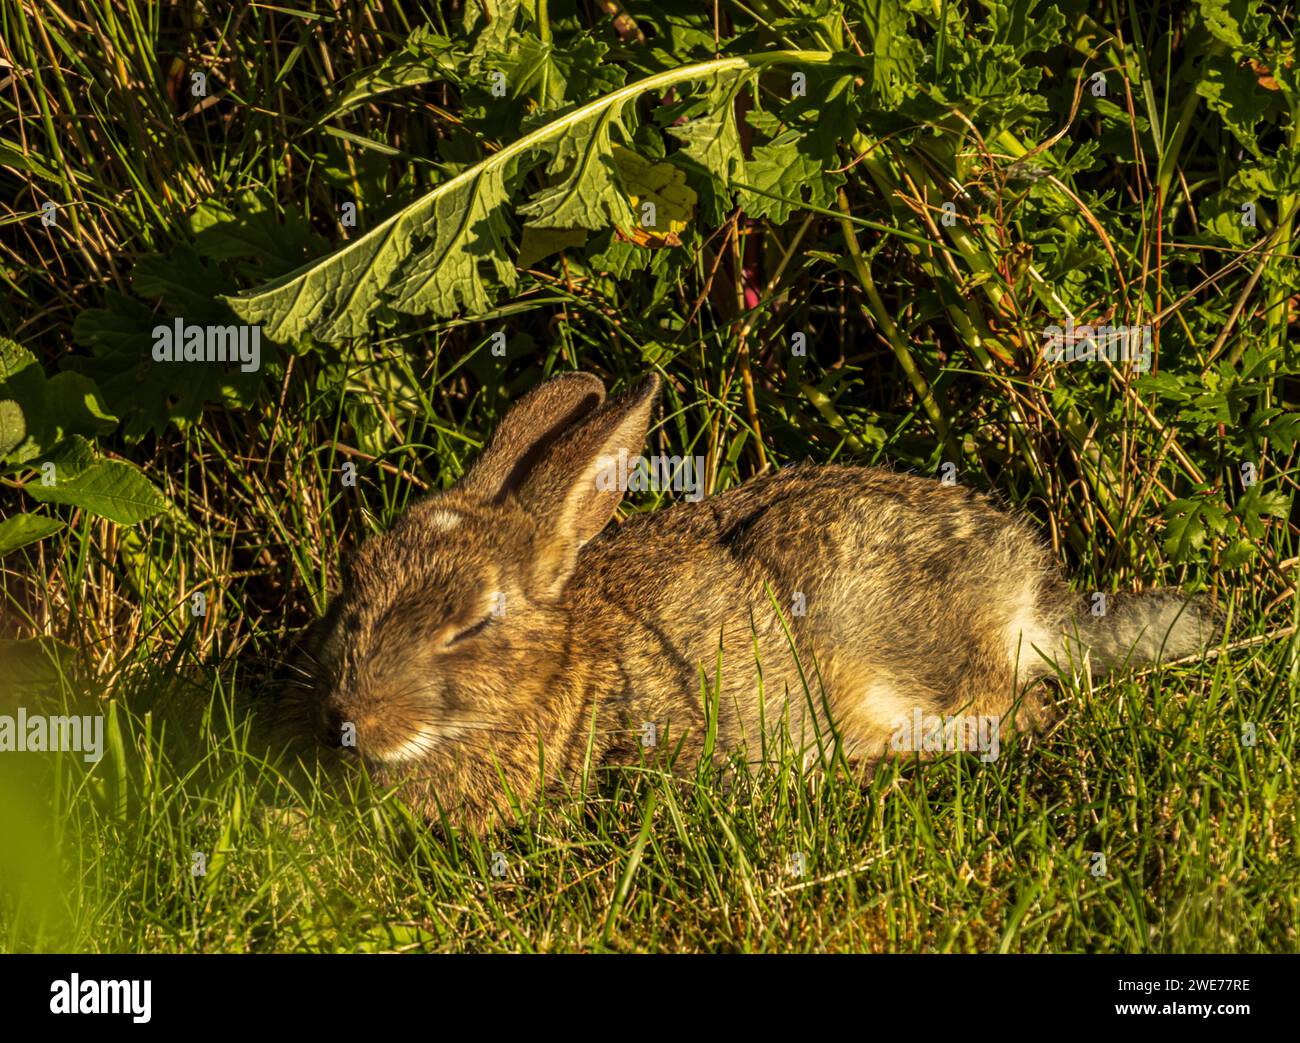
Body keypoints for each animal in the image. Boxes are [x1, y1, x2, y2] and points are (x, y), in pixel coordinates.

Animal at [284, 371, 1217, 831]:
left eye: (475, 622)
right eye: (355, 581)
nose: (350, 718)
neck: (563, 677)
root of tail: (1028, 600)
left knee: (1023, 709)